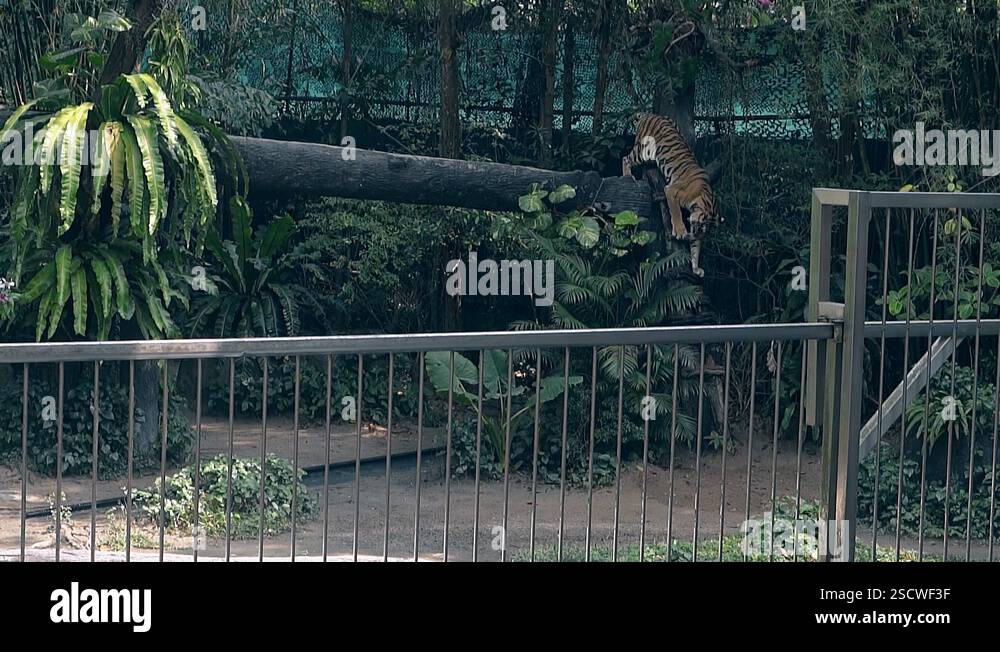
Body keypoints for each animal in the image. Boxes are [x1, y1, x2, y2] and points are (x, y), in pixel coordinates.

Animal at [621, 112, 722, 278]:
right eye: (699, 227)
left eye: (702, 232)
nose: (693, 236)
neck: (704, 198)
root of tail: (649, 114)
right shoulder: (671, 191)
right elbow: (676, 213)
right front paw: (680, 232)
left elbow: (696, 251)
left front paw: (696, 268)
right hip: (642, 150)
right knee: (626, 158)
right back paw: (627, 176)